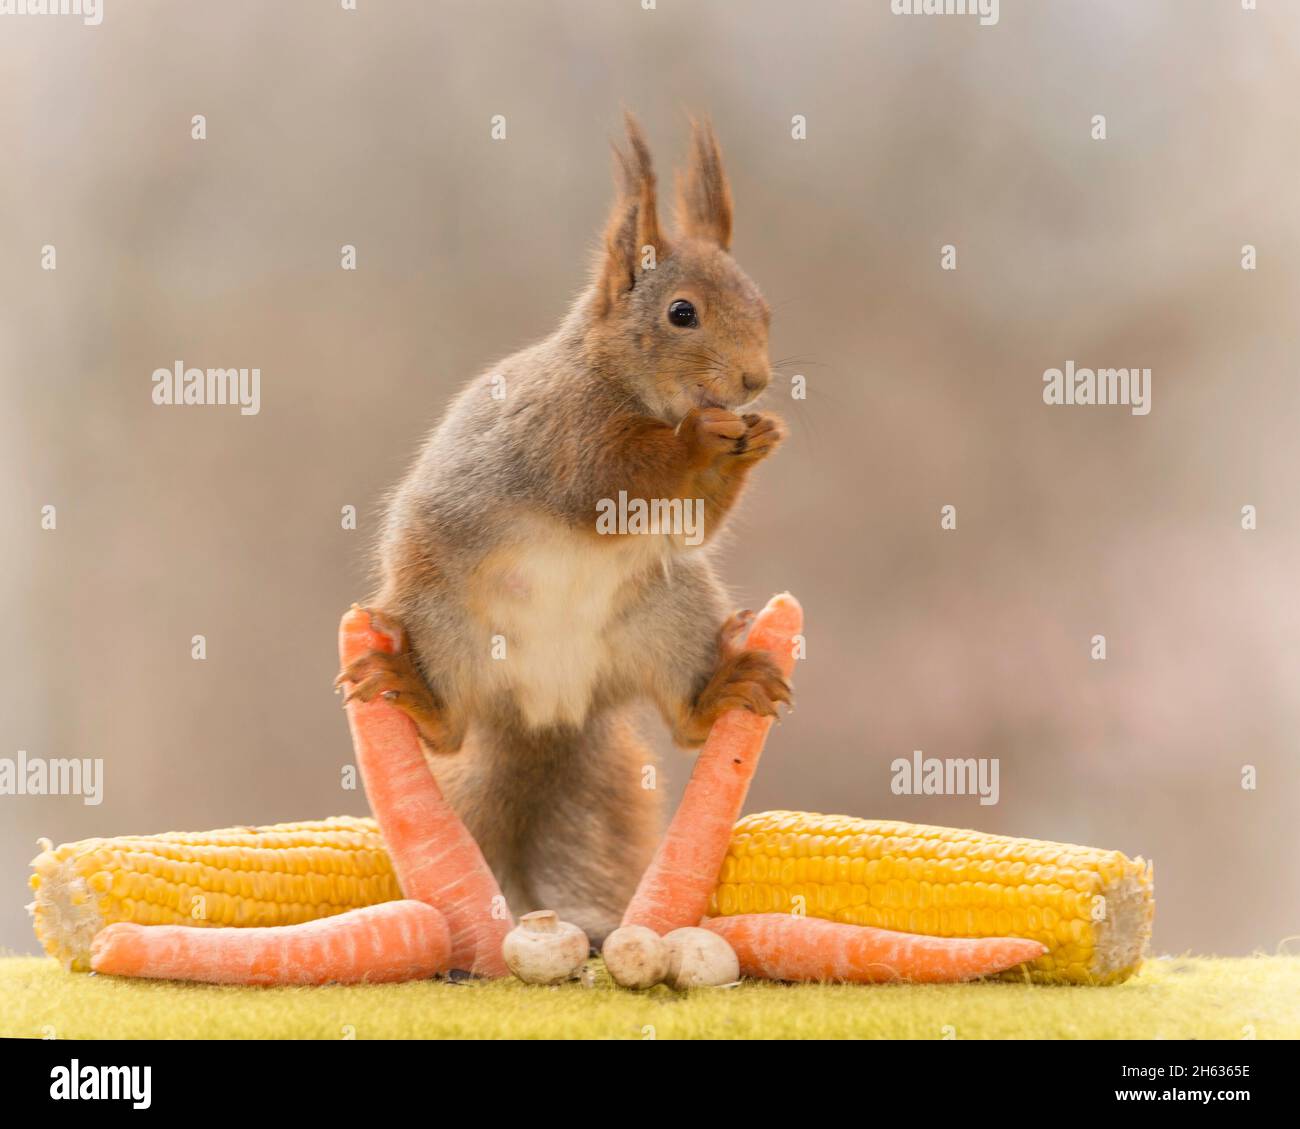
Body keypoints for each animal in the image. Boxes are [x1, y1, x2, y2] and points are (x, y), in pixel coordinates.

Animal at [336, 114, 789, 944]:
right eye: (682, 312)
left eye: (763, 305)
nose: (755, 382)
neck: (622, 384)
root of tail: (548, 711)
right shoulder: (565, 437)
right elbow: (618, 480)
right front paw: (701, 440)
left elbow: (691, 526)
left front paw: (756, 437)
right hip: (446, 621)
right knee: (448, 732)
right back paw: (415, 695)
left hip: (669, 617)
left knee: (688, 723)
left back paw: (727, 686)